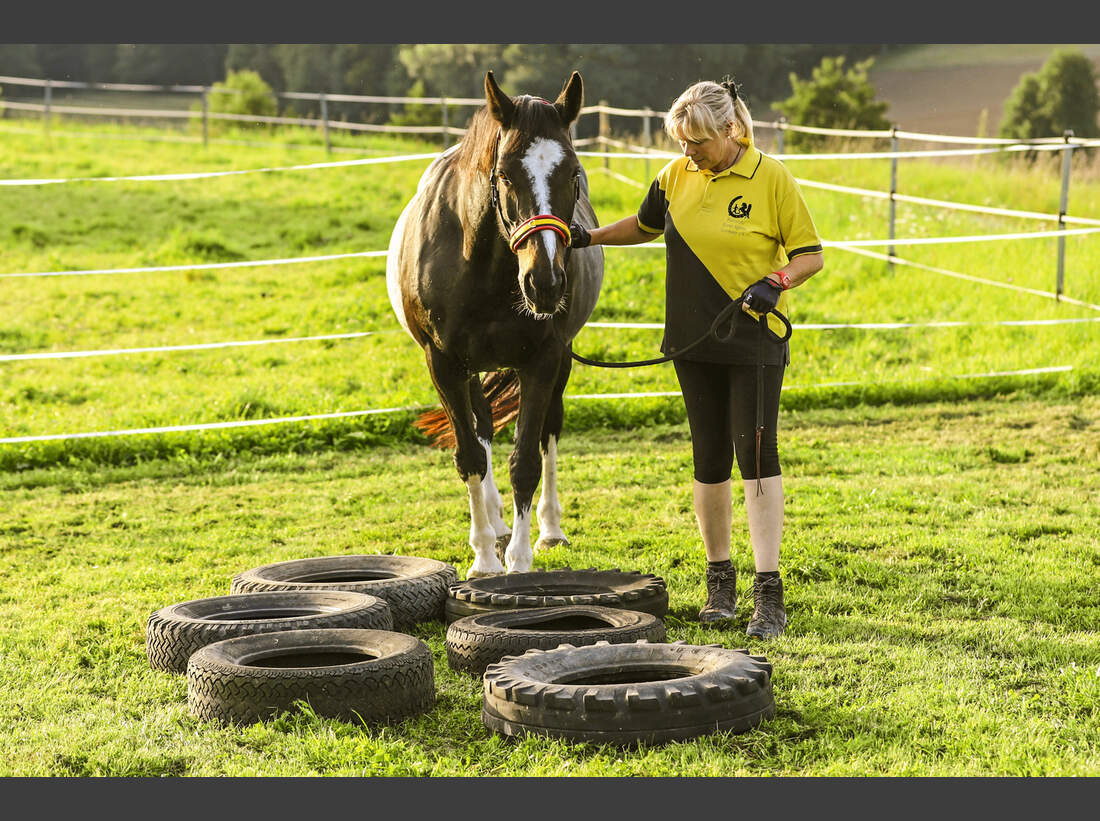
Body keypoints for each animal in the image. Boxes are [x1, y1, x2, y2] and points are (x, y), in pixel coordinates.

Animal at [386, 70, 604, 580]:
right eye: (505, 174)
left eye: (573, 173)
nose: (545, 283)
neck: (480, 266)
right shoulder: (444, 364)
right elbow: (469, 456)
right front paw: (485, 557)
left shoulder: (543, 360)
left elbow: (525, 459)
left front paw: (519, 561)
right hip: (470, 371)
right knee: (481, 431)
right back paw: (495, 524)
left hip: (560, 362)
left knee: (547, 433)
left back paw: (548, 529)